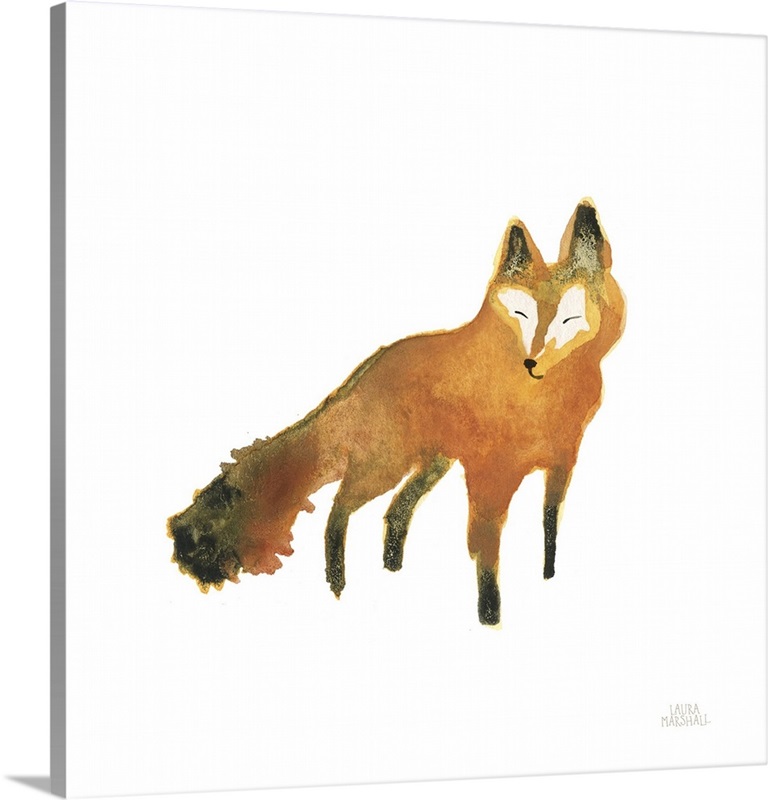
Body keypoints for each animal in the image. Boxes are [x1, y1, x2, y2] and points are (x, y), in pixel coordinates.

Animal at [168, 199, 625, 625]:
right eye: (521, 313)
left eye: (569, 318)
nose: (531, 362)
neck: (541, 400)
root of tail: (366, 369)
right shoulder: (489, 477)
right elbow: (487, 555)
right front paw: (490, 616)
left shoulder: (562, 463)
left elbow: (550, 530)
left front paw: (548, 578)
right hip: (384, 466)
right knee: (339, 509)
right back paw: (339, 585)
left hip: (429, 465)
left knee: (395, 511)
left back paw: (391, 568)